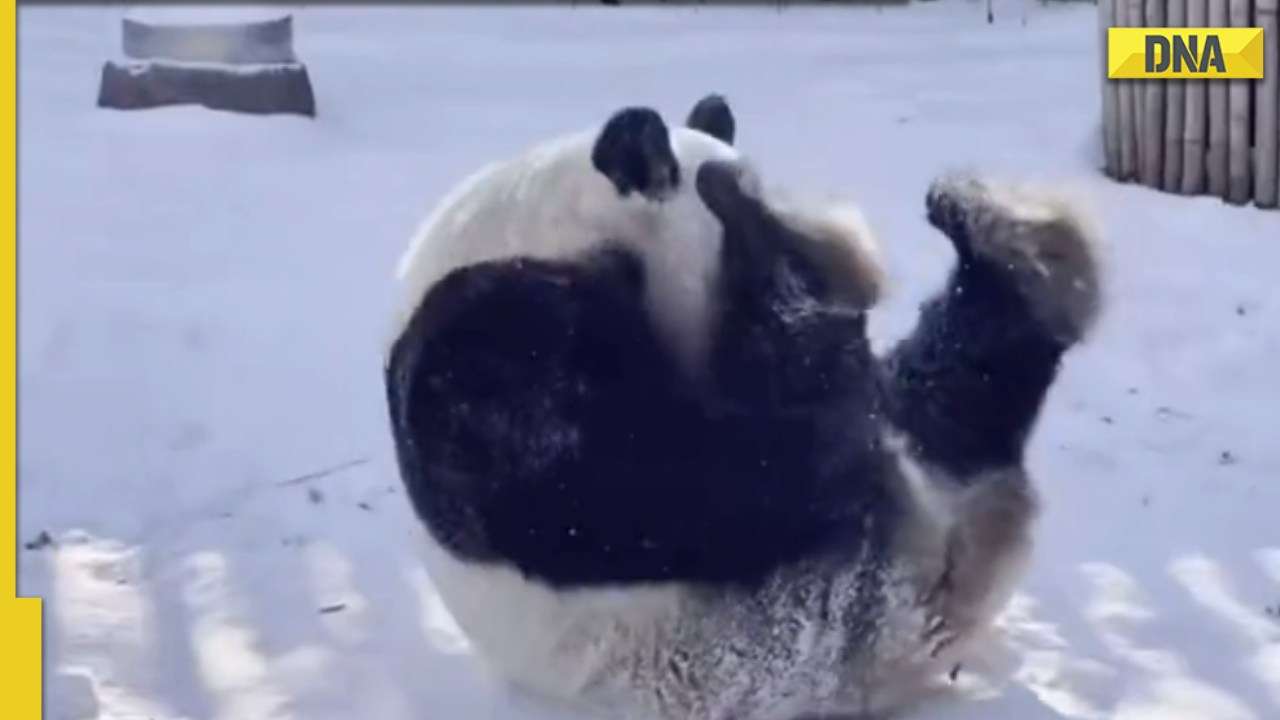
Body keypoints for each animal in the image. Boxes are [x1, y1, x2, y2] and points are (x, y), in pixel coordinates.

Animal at [385, 95, 1101, 720]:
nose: (752, 195)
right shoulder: (492, 340)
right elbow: (653, 484)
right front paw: (747, 217)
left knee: (946, 385)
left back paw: (1004, 239)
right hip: (814, 628)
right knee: (828, 387)